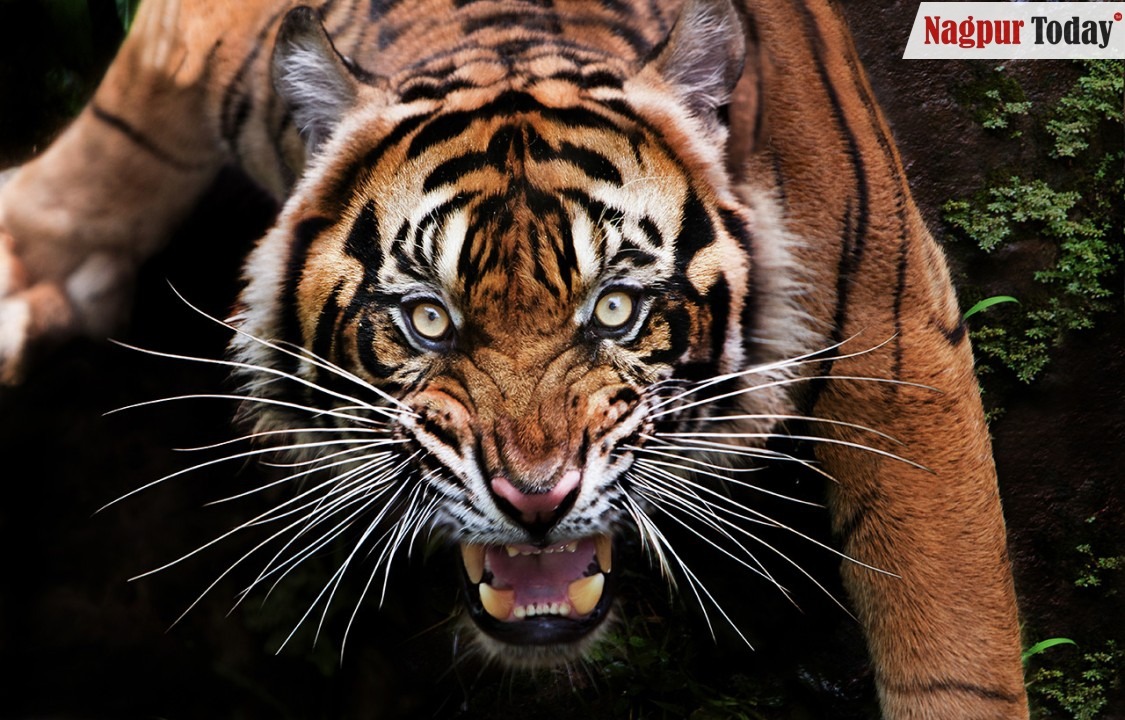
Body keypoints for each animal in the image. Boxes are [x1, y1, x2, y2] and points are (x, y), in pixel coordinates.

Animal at [0, 0, 1029, 716]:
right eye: (427, 319)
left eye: (614, 308)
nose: (536, 501)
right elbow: (135, 115)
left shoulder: (892, 333)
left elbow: (954, 642)